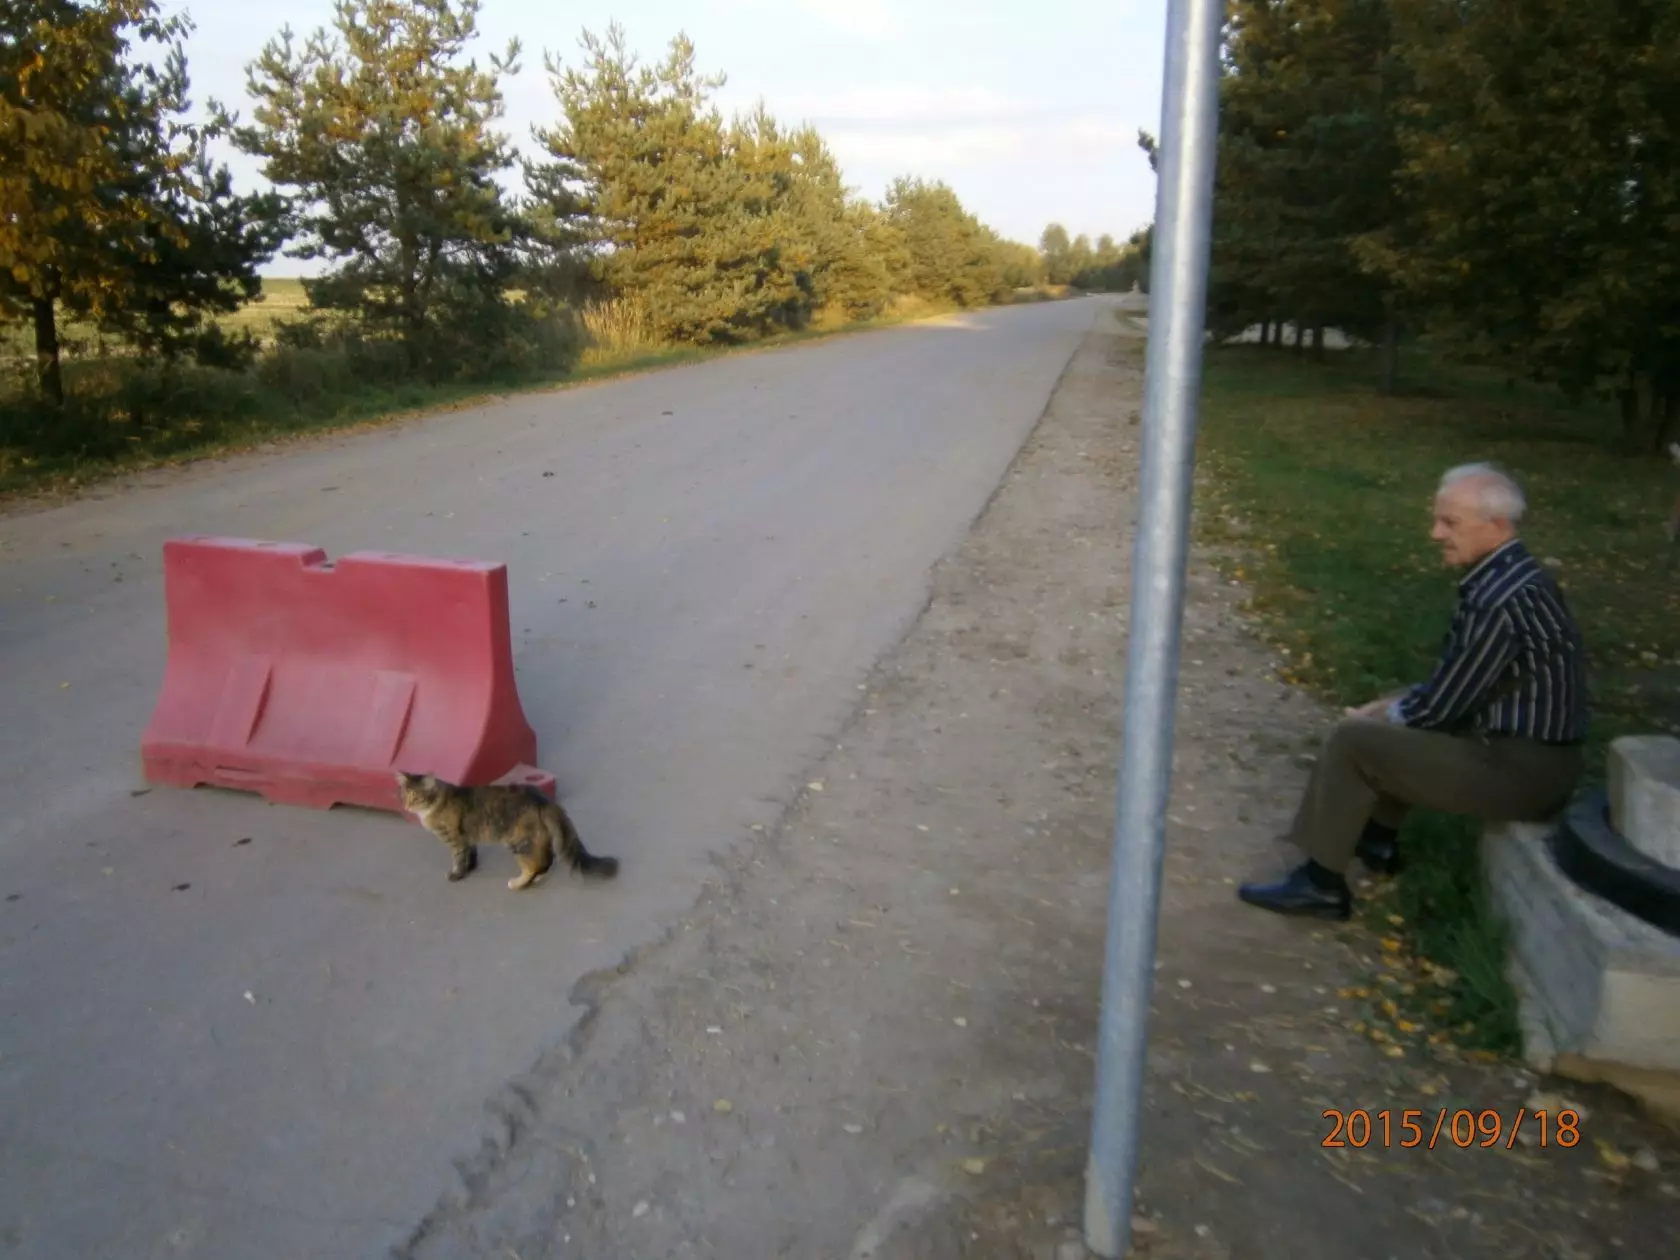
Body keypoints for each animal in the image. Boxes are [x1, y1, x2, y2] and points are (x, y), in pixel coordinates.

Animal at [396, 776, 621, 893]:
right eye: (404, 795)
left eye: (416, 797)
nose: (405, 806)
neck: (438, 803)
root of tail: (543, 800)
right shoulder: (468, 838)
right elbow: (472, 854)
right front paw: (471, 868)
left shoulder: (456, 840)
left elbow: (459, 859)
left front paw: (457, 875)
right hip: (535, 838)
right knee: (547, 860)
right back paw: (537, 878)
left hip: (518, 841)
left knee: (533, 865)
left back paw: (518, 883)